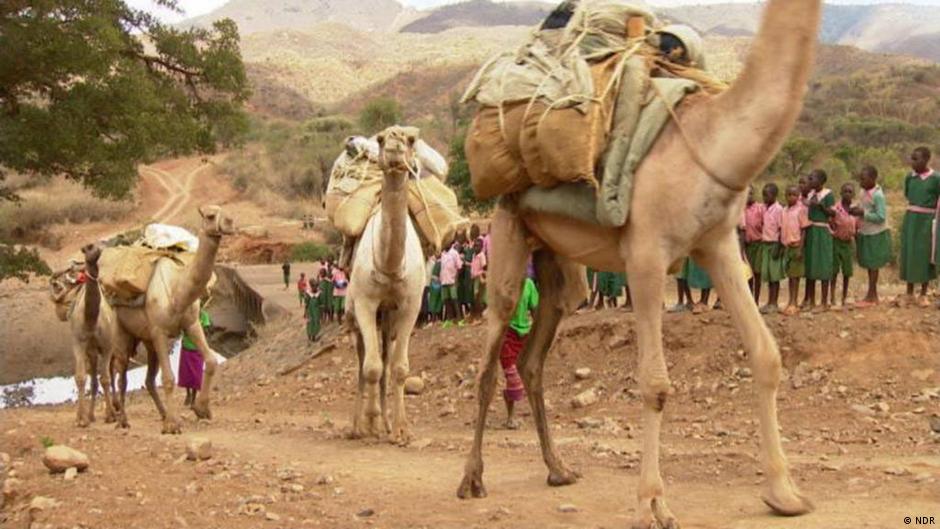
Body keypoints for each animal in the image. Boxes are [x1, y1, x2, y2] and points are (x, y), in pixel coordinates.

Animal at [50, 244, 118, 427]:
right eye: (87, 248)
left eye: (93, 247)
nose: (98, 249)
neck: (91, 321)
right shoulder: (79, 344)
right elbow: (81, 377)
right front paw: (81, 419)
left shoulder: (107, 345)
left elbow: (106, 378)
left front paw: (110, 416)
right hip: (91, 352)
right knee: (93, 379)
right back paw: (91, 415)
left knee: (111, 371)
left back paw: (115, 407)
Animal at [110, 205, 234, 433]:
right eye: (210, 216)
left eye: (225, 211)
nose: (230, 222)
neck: (178, 291)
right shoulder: (159, 331)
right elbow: (168, 378)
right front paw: (173, 425)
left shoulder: (192, 324)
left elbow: (211, 360)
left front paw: (202, 409)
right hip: (121, 329)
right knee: (121, 372)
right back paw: (123, 420)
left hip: (148, 342)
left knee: (149, 379)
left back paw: (162, 414)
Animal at [346, 126, 426, 444]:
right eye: (380, 139)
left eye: (412, 139)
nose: (394, 147)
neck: (390, 265)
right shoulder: (366, 303)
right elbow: (370, 368)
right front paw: (370, 424)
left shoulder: (410, 305)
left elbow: (399, 368)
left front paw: (401, 430)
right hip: (356, 313)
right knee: (363, 360)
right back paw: (359, 425)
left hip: (389, 316)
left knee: (386, 354)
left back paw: (387, 422)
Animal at [456, 0, 819, 526]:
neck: (712, 141)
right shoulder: (647, 254)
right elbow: (654, 383)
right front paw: (651, 503)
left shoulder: (718, 243)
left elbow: (766, 355)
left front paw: (784, 494)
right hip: (507, 224)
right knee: (491, 352)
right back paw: (472, 479)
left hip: (558, 261)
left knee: (535, 354)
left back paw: (559, 468)